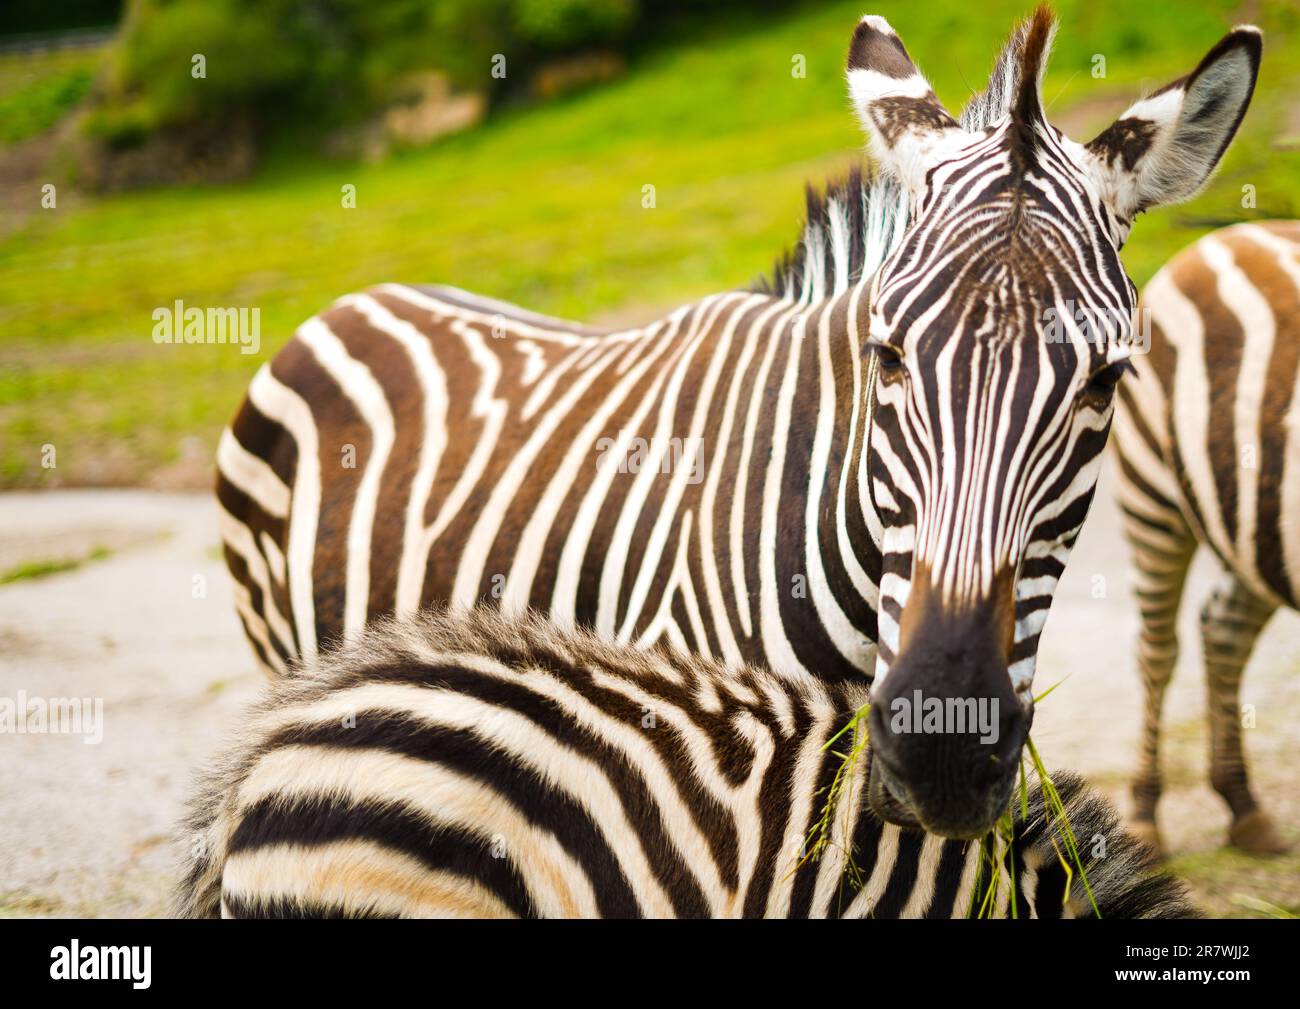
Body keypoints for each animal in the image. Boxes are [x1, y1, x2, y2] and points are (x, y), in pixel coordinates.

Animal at [1114, 220, 1300, 856]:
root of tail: (1233, 233)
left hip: (1258, 530)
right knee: (1156, 651)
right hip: (1152, 494)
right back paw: (1144, 816)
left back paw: (1243, 802)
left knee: (1223, 631)